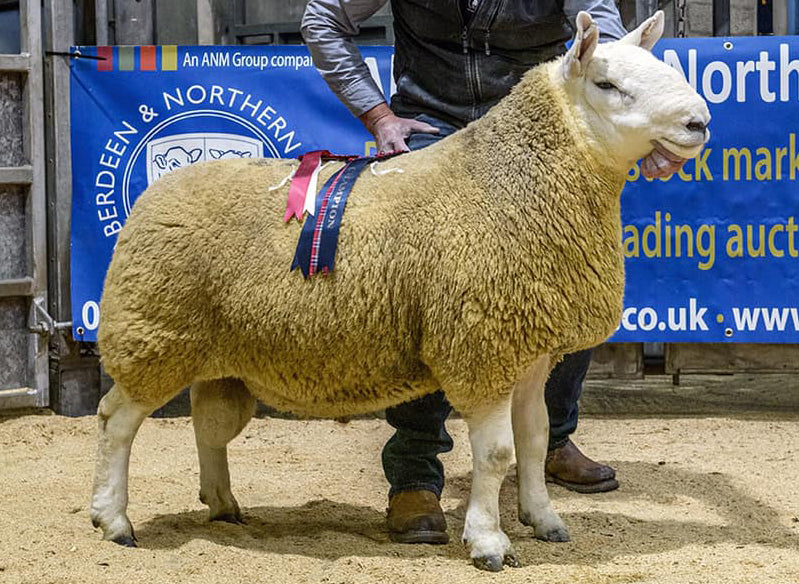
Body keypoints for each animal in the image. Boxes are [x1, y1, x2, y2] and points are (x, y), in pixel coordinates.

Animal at [90, 11, 710, 571]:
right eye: (607, 85)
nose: (699, 122)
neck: (510, 183)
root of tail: (158, 189)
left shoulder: (530, 349)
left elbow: (533, 442)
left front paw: (544, 519)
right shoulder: (480, 346)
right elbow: (496, 453)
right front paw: (488, 542)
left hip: (218, 352)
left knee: (208, 425)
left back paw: (221, 503)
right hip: (155, 331)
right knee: (115, 419)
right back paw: (113, 519)